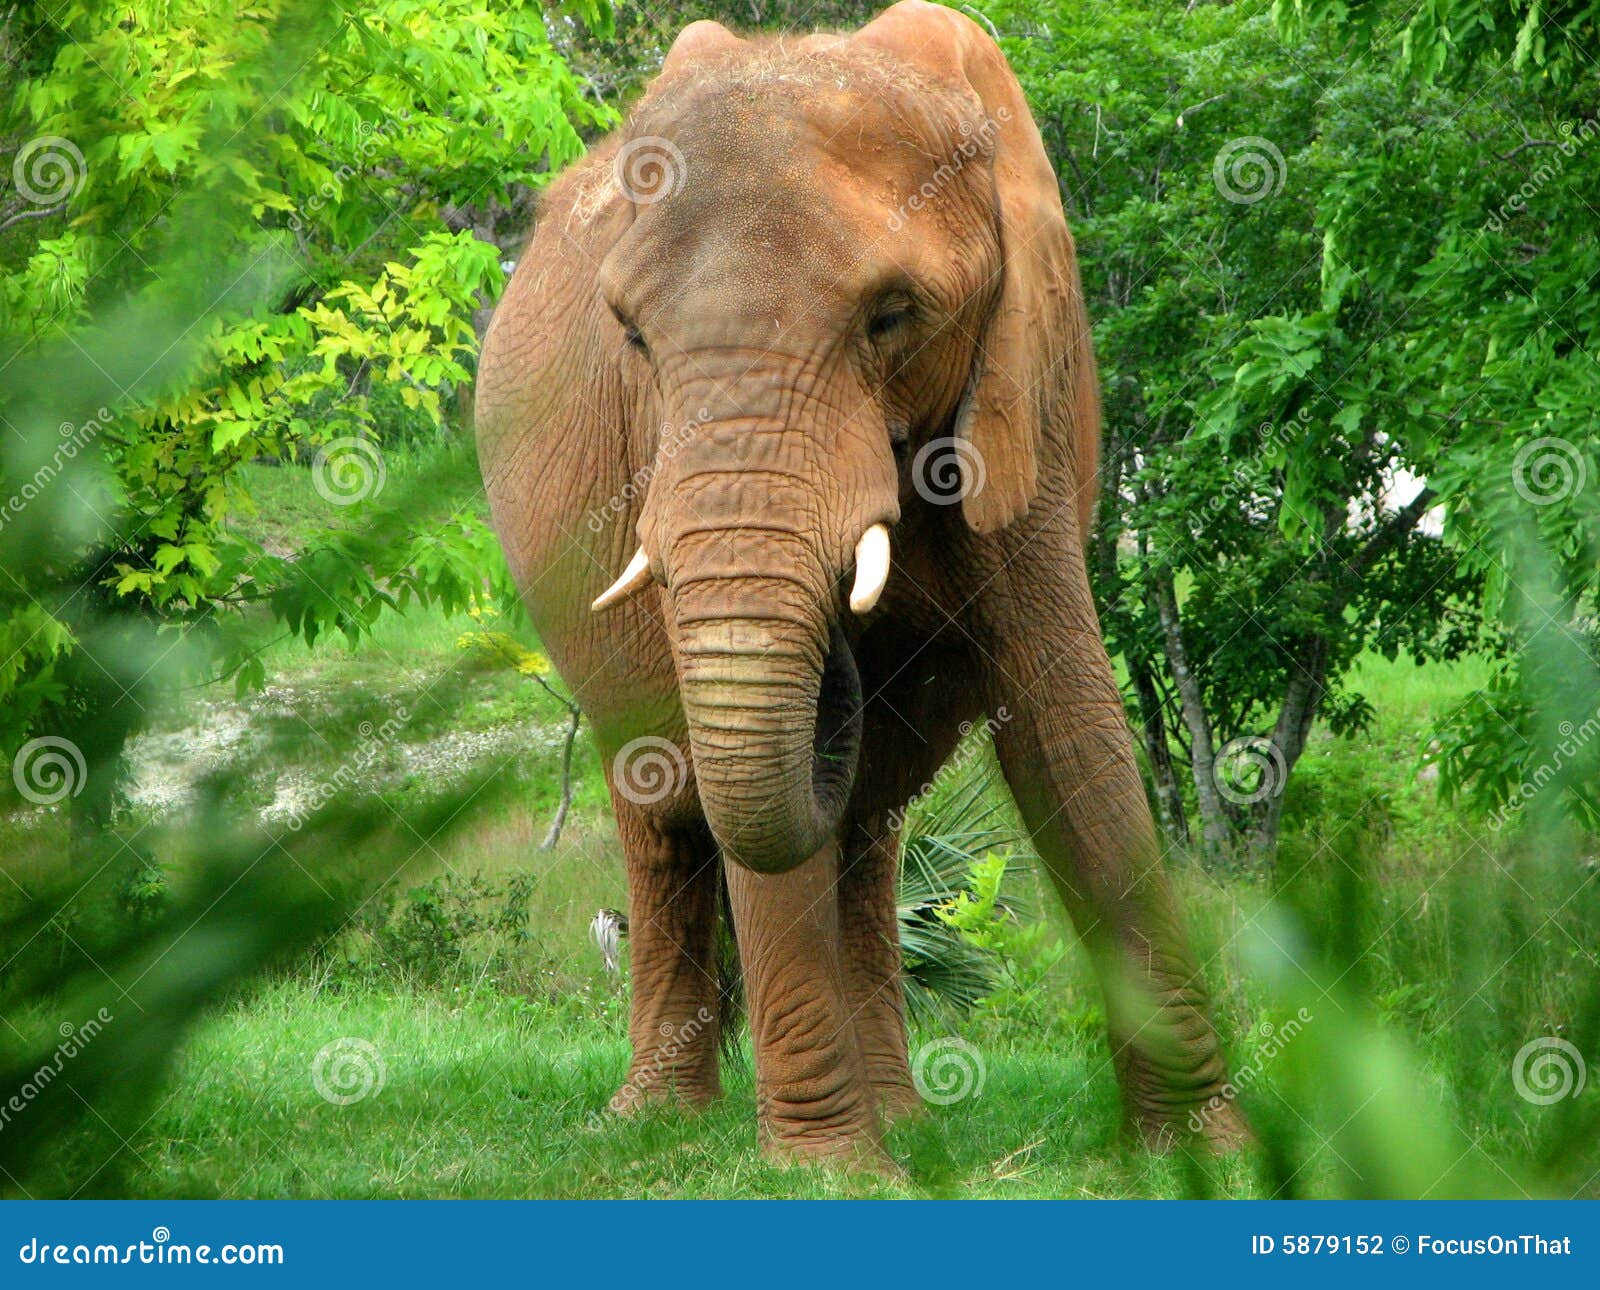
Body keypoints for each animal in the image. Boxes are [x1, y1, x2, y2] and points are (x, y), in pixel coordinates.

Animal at [475, 0, 1246, 1168]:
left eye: (892, 315)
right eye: (632, 337)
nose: (848, 645)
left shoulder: (1024, 386)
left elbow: (1070, 731)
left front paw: (1212, 1152)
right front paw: (831, 1171)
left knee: (870, 825)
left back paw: (905, 1119)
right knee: (665, 802)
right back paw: (657, 1120)